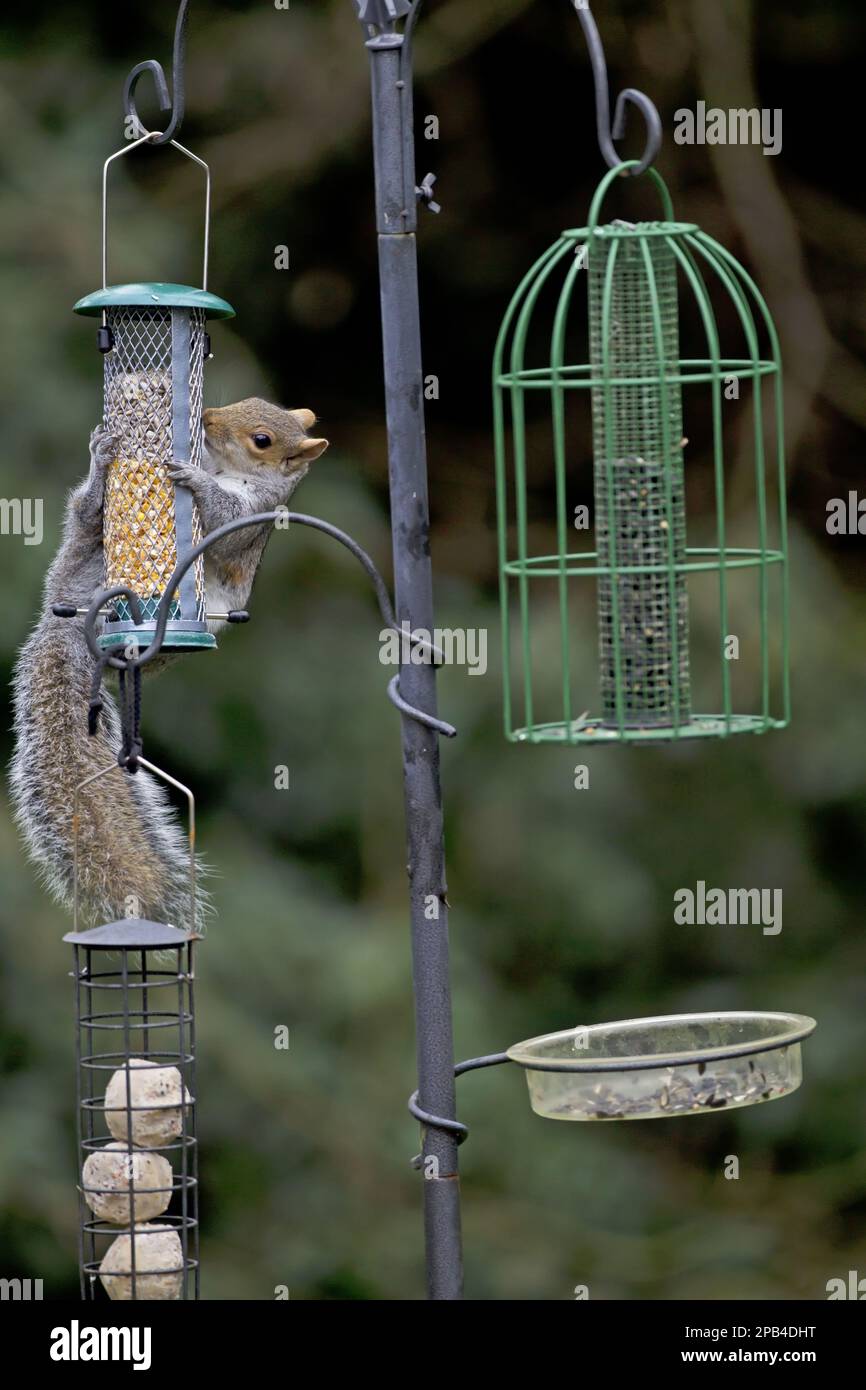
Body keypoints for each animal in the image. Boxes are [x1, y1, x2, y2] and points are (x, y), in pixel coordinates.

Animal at [10, 399, 328, 933]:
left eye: (262, 439)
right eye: (244, 403)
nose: (209, 417)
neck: (229, 470)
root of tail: (69, 623)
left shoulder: (248, 518)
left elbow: (224, 517)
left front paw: (193, 478)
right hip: (82, 554)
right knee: (86, 514)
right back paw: (100, 467)